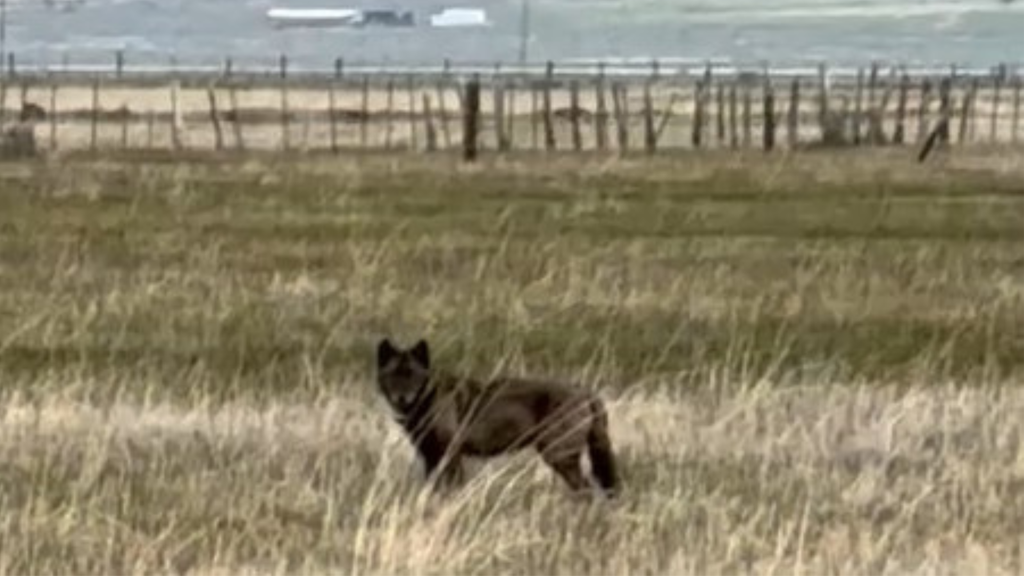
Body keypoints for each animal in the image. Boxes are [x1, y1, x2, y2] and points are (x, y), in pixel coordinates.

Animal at [375, 338, 620, 498]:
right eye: (392, 376)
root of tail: (586, 392)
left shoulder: (451, 455)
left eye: (413, 376)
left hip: (559, 456)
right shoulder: (430, 457)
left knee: (586, 490)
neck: (429, 397)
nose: (402, 398)